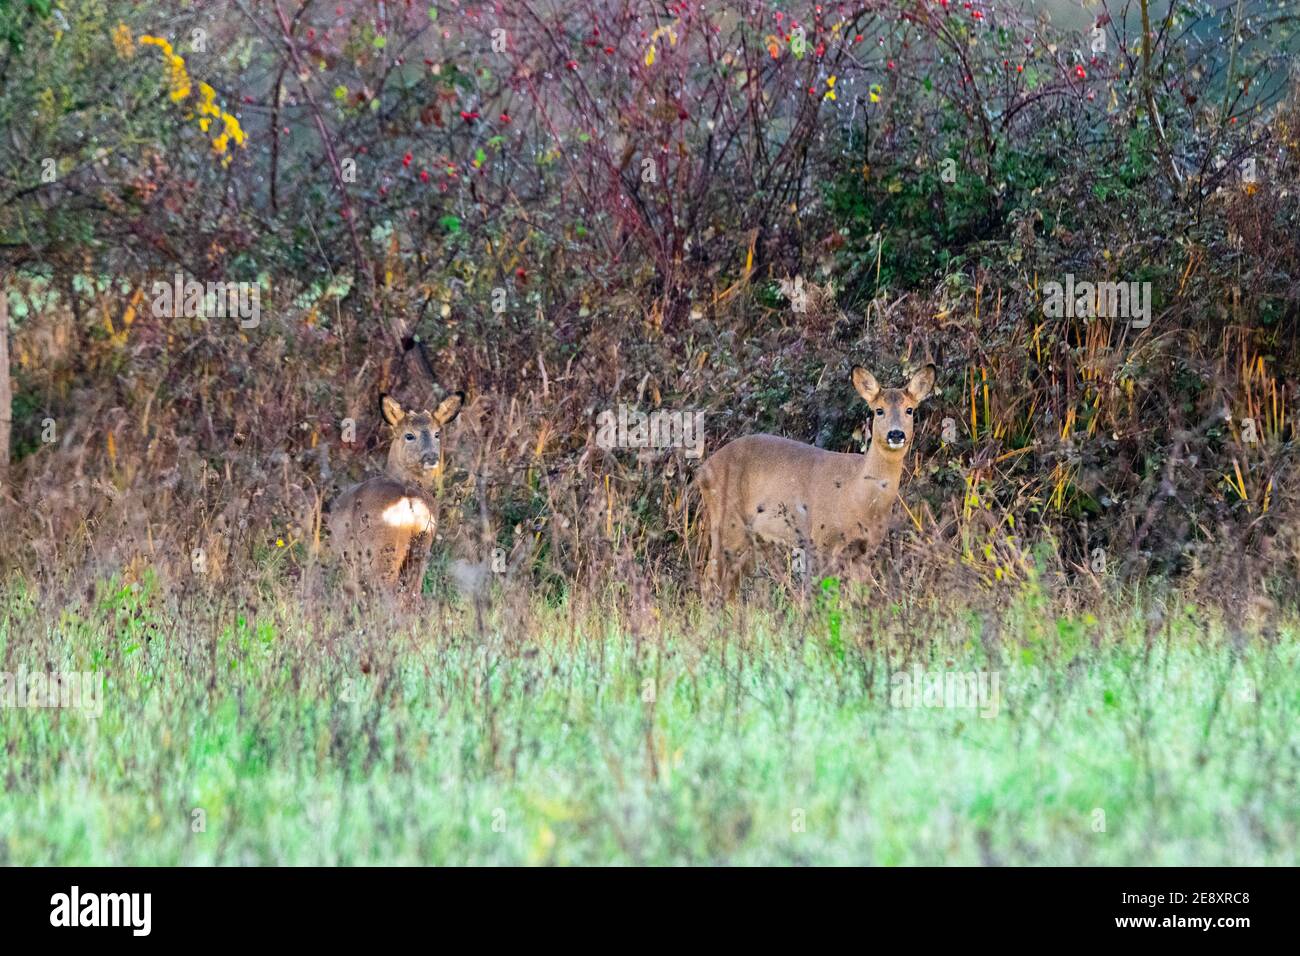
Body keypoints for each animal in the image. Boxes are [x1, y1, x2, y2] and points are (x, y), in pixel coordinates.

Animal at [328, 392, 463, 597]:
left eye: (437, 434)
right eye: (410, 435)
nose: (431, 456)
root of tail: (409, 501)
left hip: (381, 548)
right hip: (421, 546)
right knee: (413, 592)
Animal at [696, 364, 936, 596]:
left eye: (909, 409)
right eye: (879, 410)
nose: (896, 434)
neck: (859, 495)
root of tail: (703, 470)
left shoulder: (866, 549)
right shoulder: (823, 538)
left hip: (753, 536)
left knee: (730, 582)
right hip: (727, 522)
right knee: (710, 578)